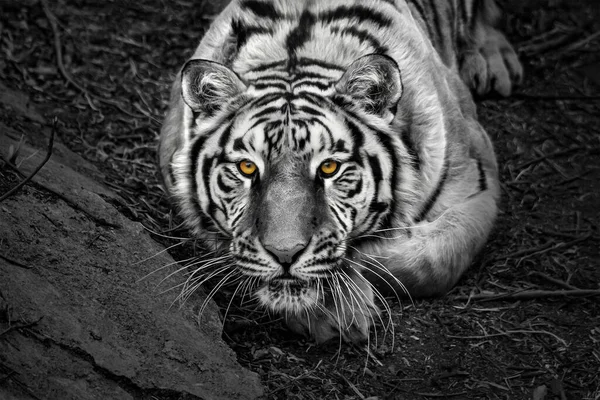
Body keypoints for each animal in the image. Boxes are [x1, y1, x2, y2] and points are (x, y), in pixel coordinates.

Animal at [157, 0, 524, 344]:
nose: (284, 254)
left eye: (329, 167)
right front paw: (335, 310)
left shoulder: (476, 176)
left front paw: (360, 267)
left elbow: (437, 257)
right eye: (247, 167)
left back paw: (494, 60)